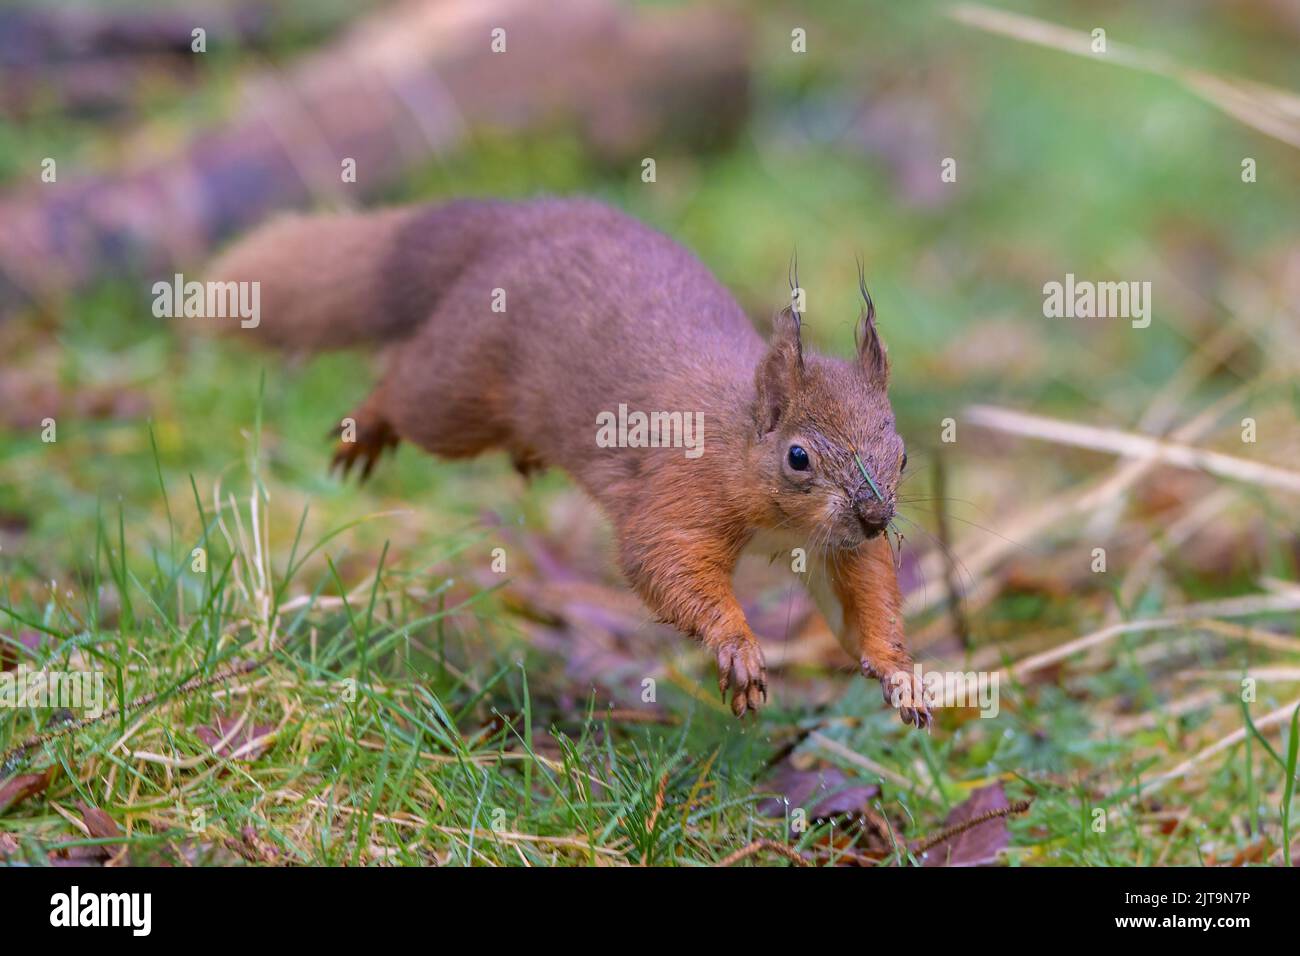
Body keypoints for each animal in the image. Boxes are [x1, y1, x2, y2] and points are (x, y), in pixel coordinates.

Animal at [209, 197, 929, 727]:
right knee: (406, 385)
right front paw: (738, 649)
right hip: (458, 393)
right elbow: (662, 561)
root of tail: (511, 223)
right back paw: (368, 428)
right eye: (798, 457)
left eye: (902, 456)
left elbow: (864, 605)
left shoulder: (835, 550)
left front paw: (902, 675)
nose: (875, 516)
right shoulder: (678, 490)